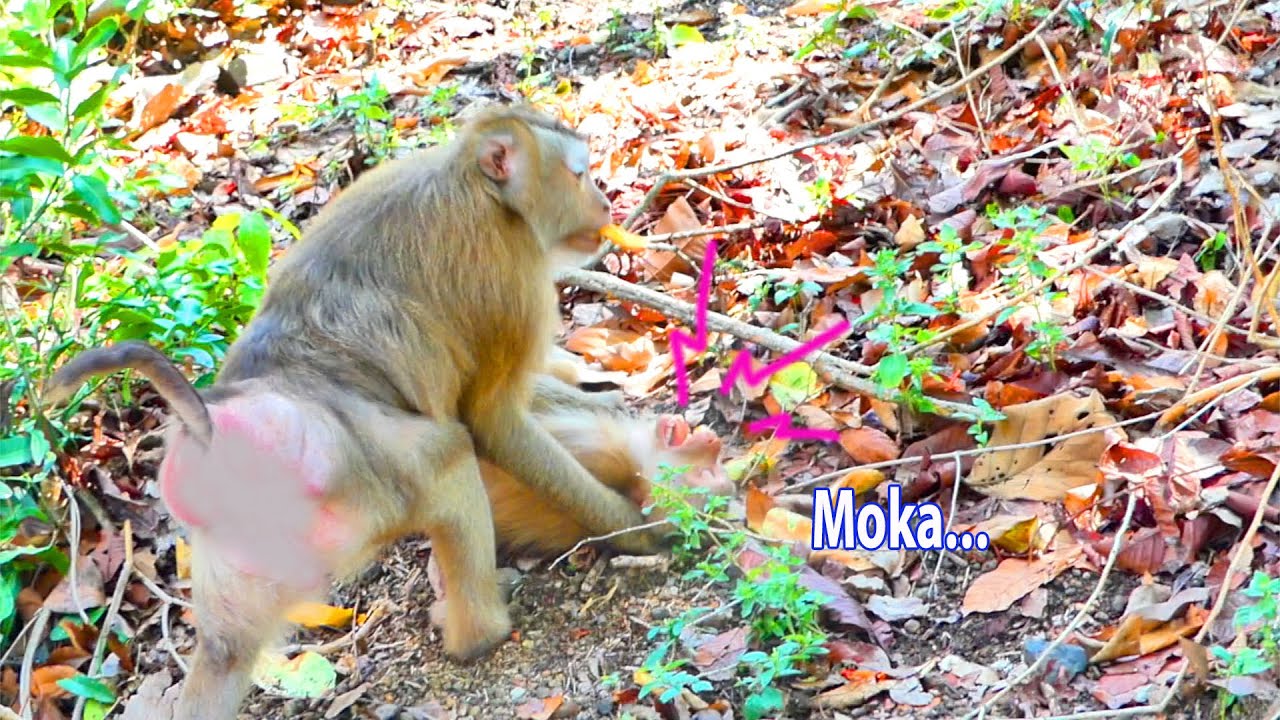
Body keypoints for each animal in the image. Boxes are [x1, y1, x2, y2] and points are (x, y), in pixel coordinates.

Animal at [43, 104, 663, 720]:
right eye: (579, 174)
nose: (605, 203)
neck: (476, 185)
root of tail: (214, 429)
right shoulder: (508, 273)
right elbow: (490, 419)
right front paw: (633, 525)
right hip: (367, 486)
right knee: (448, 459)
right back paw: (479, 631)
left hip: (238, 562)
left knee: (223, 656)